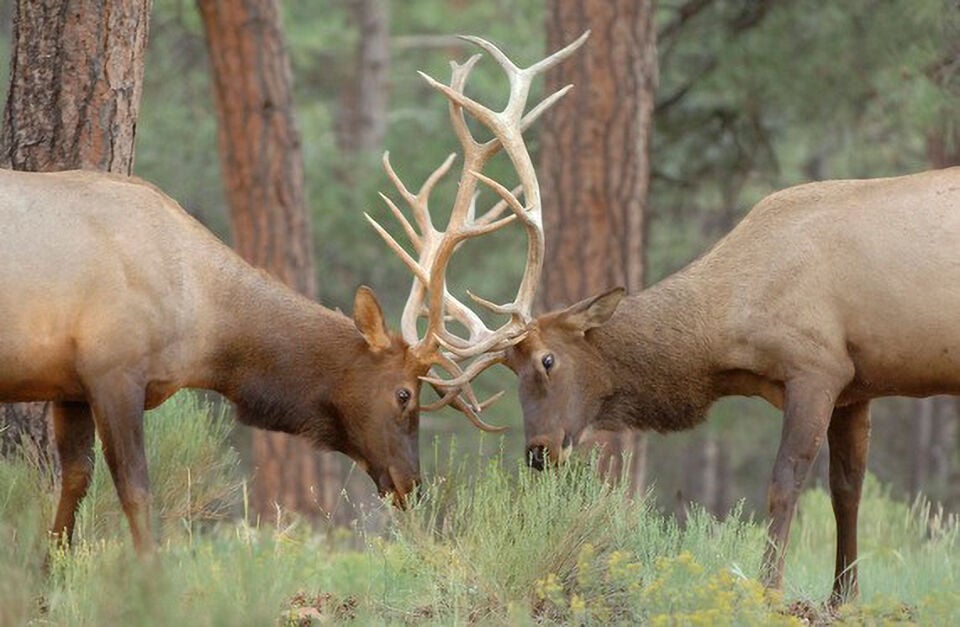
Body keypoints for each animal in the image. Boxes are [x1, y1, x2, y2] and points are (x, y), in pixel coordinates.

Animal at [0, 32, 585, 556]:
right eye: (404, 394)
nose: (412, 486)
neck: (198, 321)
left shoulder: (71, 384)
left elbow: (72, 486)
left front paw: (51, 582)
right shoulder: (114, 370)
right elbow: (136, 493)